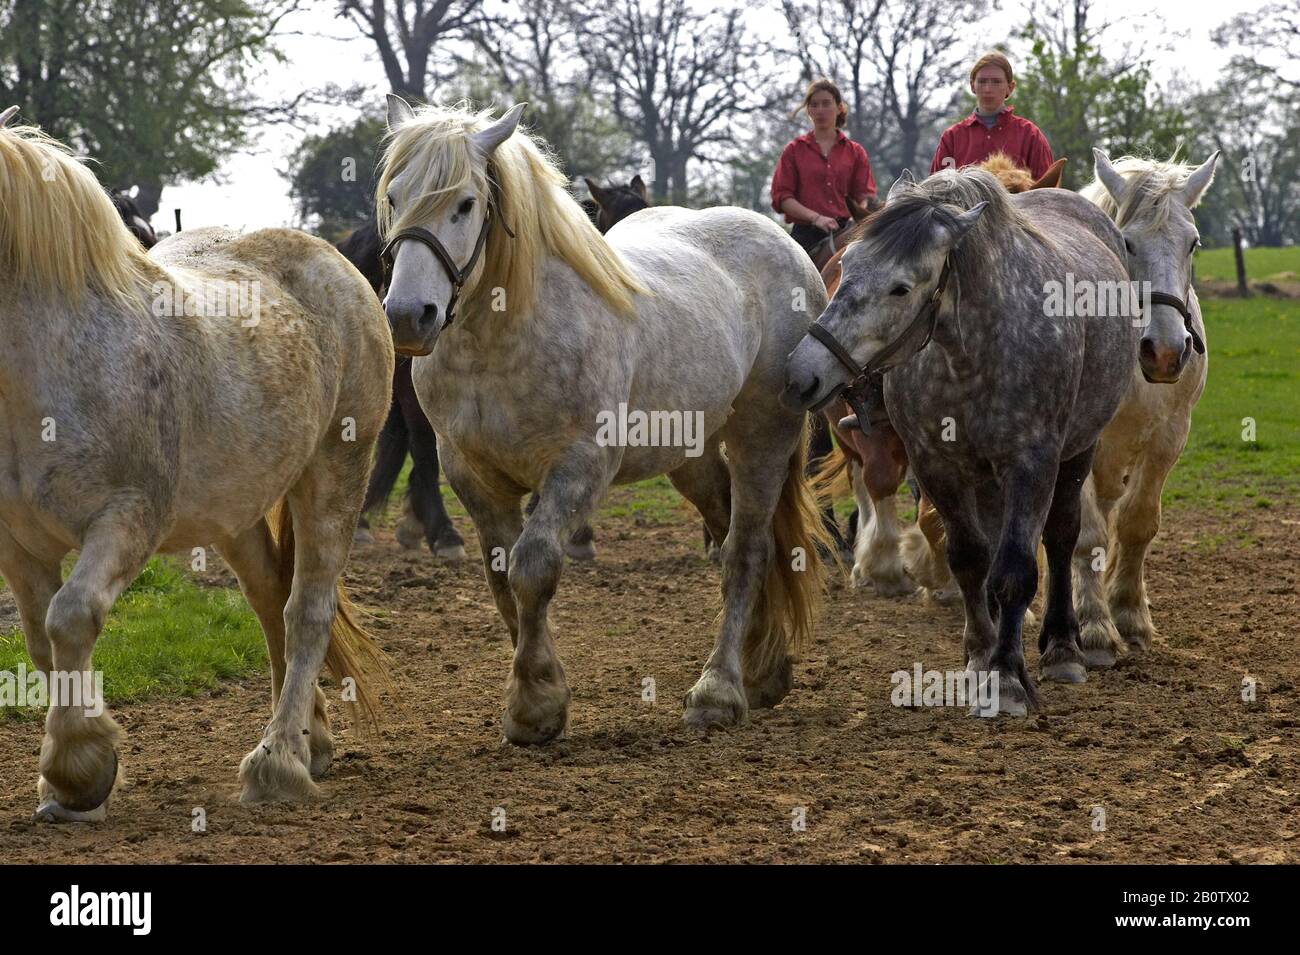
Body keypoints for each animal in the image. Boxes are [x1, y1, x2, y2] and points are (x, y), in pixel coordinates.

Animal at [0, 106, 392, 817]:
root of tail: (338, 264)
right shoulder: (18, 546)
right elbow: (42, 643)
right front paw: (71, 778)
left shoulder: (128, 518)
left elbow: (71, 618)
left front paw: (81, 770)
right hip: (235, 513)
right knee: (270, 599)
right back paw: (311, 737)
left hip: (338, 468)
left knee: (305, 611)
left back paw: (279, 762)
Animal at [378, 96, 829, 739]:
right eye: (394, 197)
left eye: (464, 204)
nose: (408, 316)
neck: (504, 339)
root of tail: (788, 249)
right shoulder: (471, 474)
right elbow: (501, 579)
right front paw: (537, 699)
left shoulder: (579, 466)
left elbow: (532, 568)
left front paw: (536, 702)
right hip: (690, 456)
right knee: (729, 533)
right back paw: (765, 668)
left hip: (762, 437)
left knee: (745, 551)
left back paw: (719, 691)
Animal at [1071, 150, 1217, 666]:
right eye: (1127, 243)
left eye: (1193, 243)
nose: (1166, 351)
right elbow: (1087, 533)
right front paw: (1094, 625)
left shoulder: (1168, 437)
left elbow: (1137, 523)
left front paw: (1129, 613)